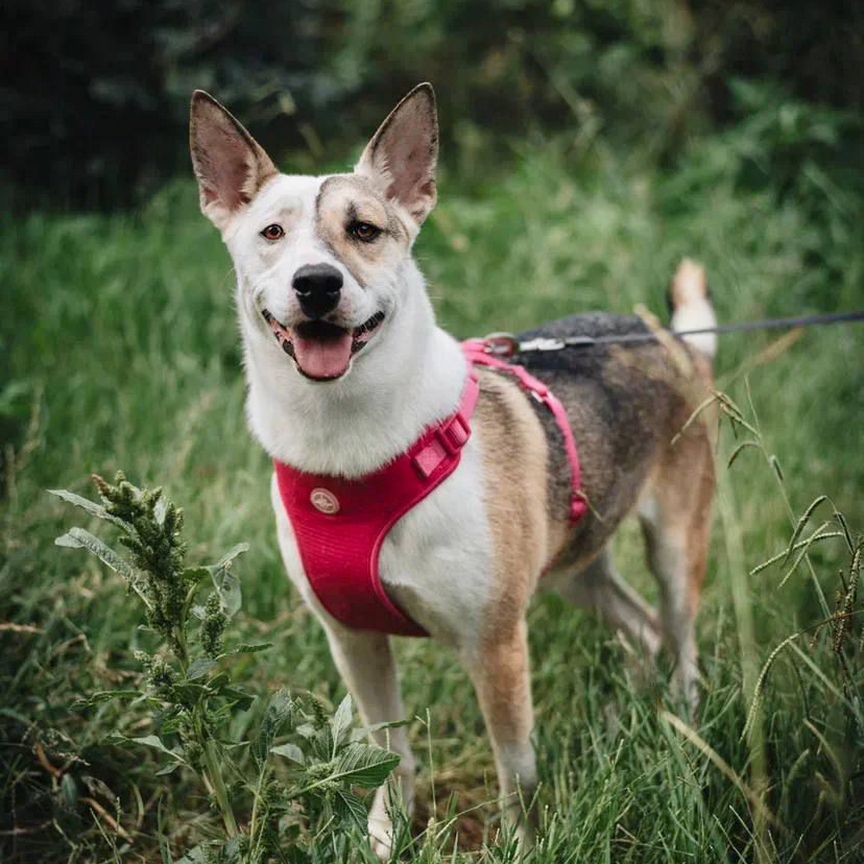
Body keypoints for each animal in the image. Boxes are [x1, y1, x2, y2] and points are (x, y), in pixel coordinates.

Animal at [189, 82, 716, 856]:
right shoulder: (354, 641)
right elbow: (388, 751)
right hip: (575, 561)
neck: (350, 446)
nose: (317, 284)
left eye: (366, 231)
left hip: (676, 542)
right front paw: (385, 836)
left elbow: (515, 770)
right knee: (640, 624)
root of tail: (668, 337)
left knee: (680, 635)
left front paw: (522, 845)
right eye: (272, 233)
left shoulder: (495, 644)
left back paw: (684, 722)